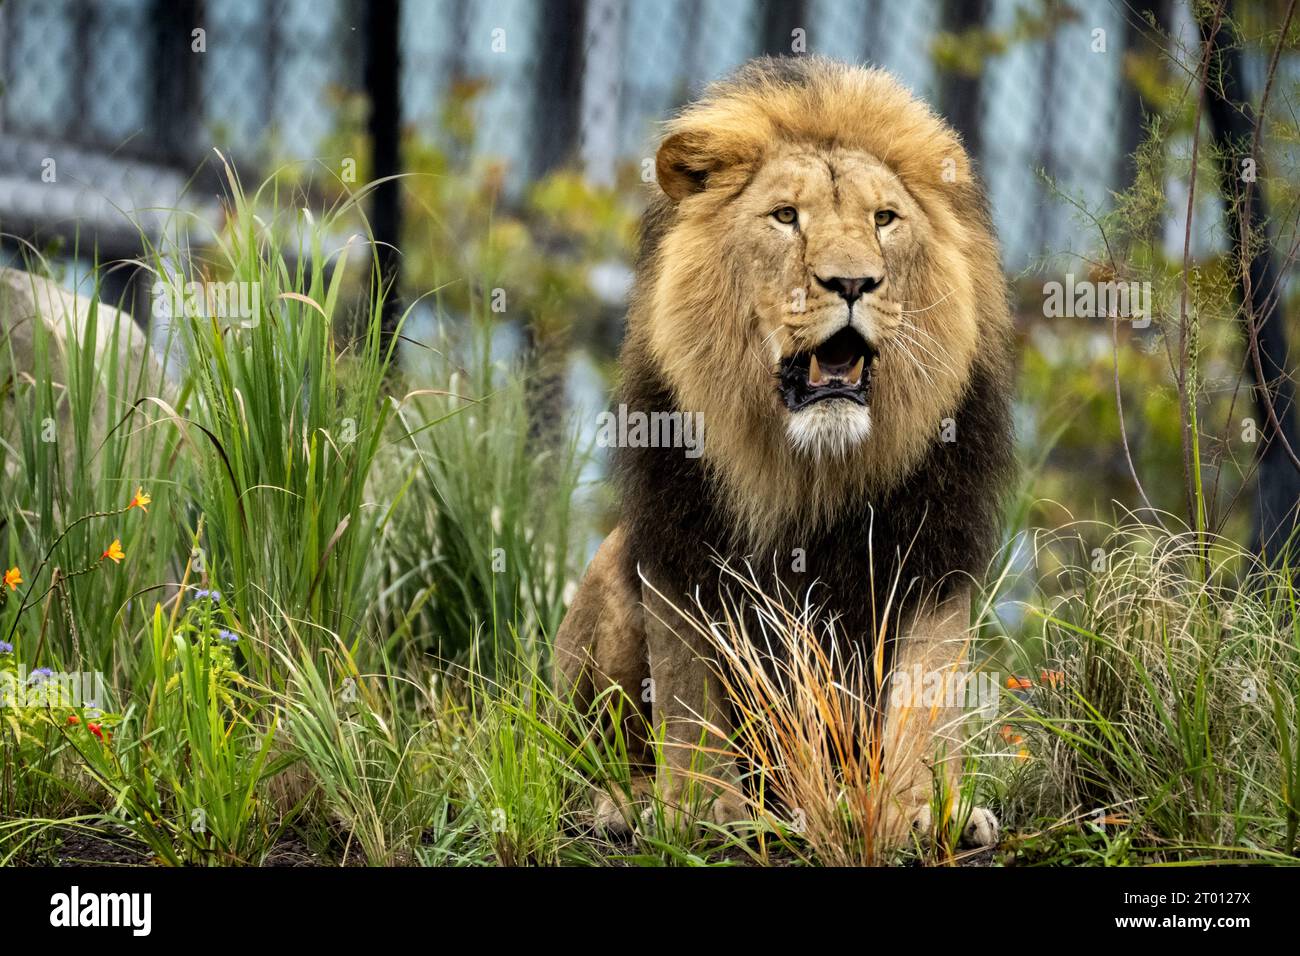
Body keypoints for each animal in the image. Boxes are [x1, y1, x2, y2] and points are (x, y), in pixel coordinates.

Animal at [554, 56, 1015, 847]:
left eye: (883, 219)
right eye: (786, 217)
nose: (853, 281)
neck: (811, 464)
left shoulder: (933, 543)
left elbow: (924, 691)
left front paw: (922, 812)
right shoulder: (678, 537)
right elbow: (688, 693)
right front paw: (702, 809)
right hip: (609, 580)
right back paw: (628, 801)